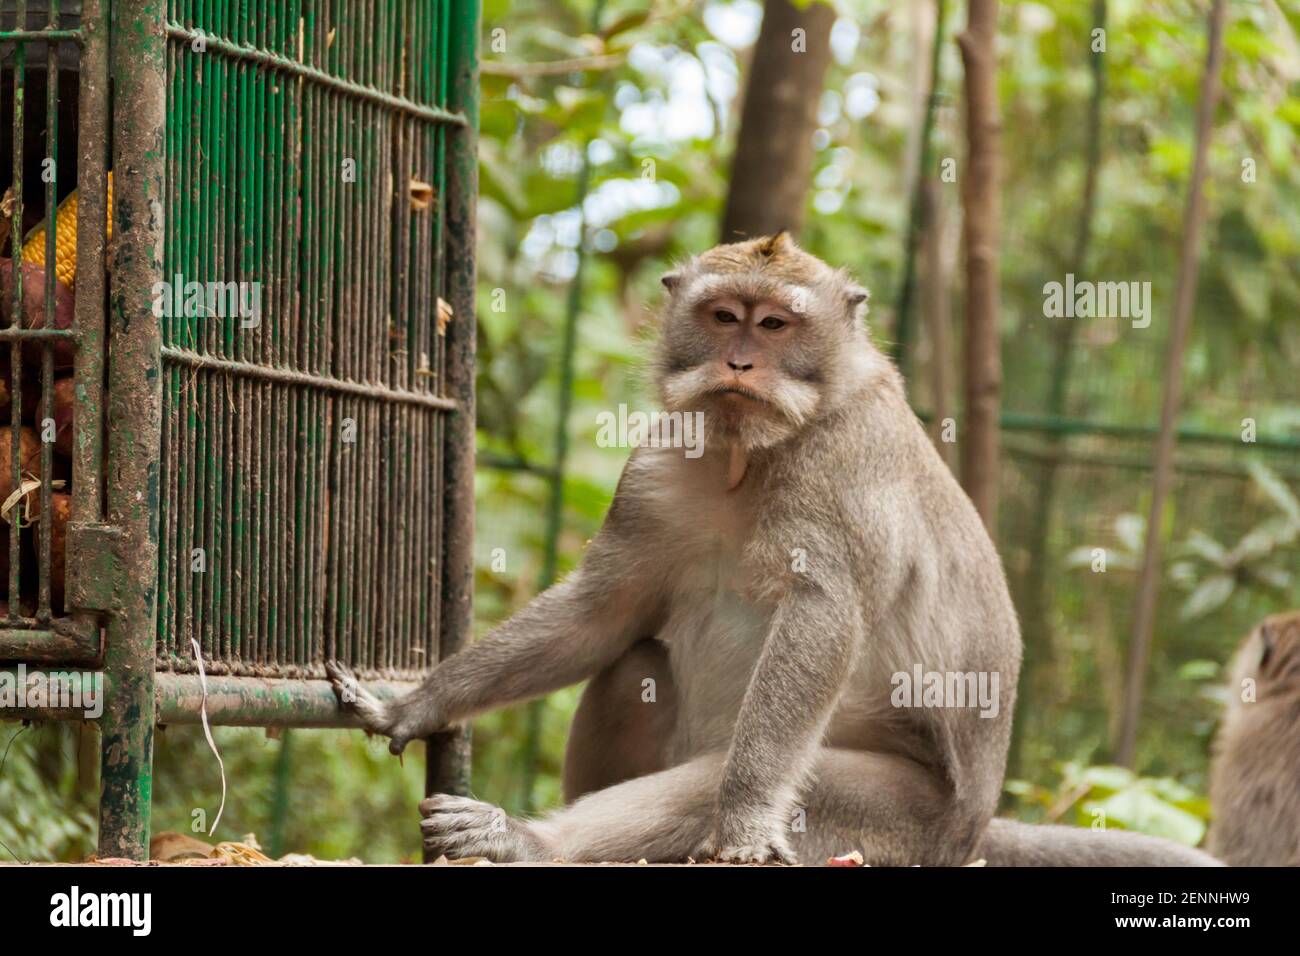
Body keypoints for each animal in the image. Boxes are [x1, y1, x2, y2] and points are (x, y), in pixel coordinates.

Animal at [329, 233, 1220, 866]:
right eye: (725, 316)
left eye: (777, 324)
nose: (740, 360)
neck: (746, 454)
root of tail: (972, 831)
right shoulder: (655, 468)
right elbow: (601, 611)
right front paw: (420, 704)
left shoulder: (842, 471)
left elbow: (822, 617)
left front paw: (747, 821)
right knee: (633, 664)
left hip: (898, 821)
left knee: (748, 776)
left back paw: (532, 844)